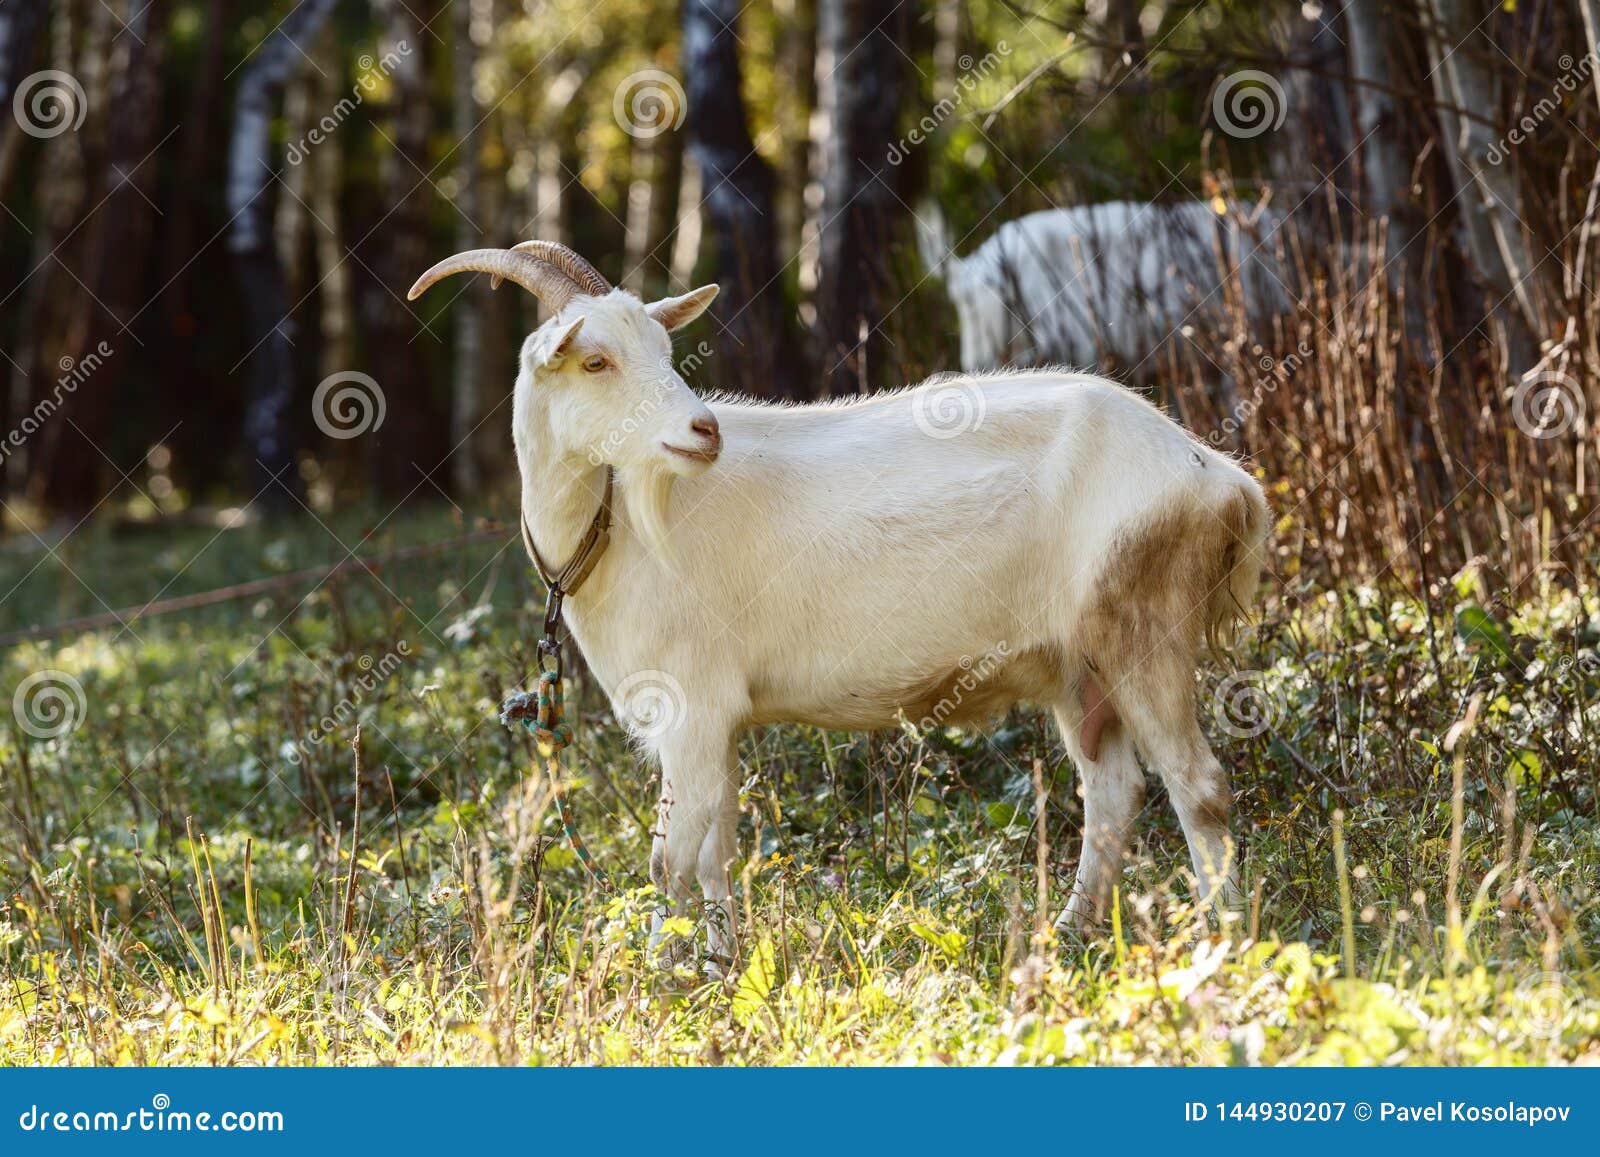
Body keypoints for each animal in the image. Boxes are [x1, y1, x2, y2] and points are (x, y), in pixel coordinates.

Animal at [409, 241, 1270, 970]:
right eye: (596, 360)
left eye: (662, 350)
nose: (703, 430)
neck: (613, 527)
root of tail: (1215, 473)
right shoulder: (722, 718)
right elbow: (716, 847)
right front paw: (721, 967)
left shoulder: (691, 707)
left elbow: (668, 856)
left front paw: (652, 981)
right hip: (1075, 665)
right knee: (1112, 790)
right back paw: (1067, 934)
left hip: (1142, 626)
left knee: (1198, 783)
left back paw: (1226, 939)